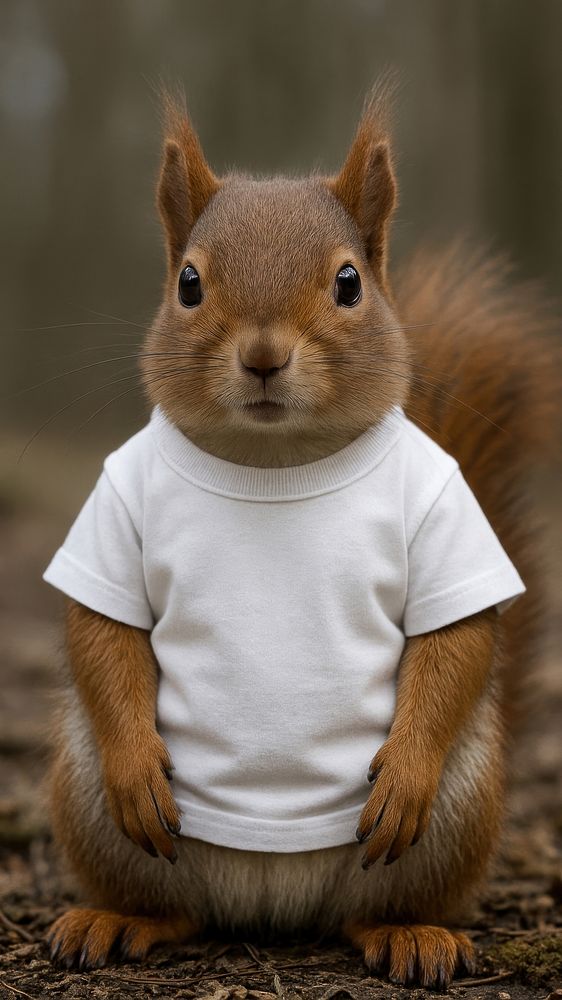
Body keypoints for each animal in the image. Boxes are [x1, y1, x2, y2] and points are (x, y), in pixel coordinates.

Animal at [42, 88, 559, 989]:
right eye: (188, 283)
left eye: (349, 283)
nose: (262, 355)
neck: (276, 460)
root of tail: (271, 908)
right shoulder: (115, 499)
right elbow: (99, 628)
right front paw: (138, 763)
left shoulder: (444, 506)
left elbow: (457, 639)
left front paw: (406, 767)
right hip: (91, 797)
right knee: (173, 904)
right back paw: (121, 916)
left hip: (453, 814)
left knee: (375, 906)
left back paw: (408, 933)